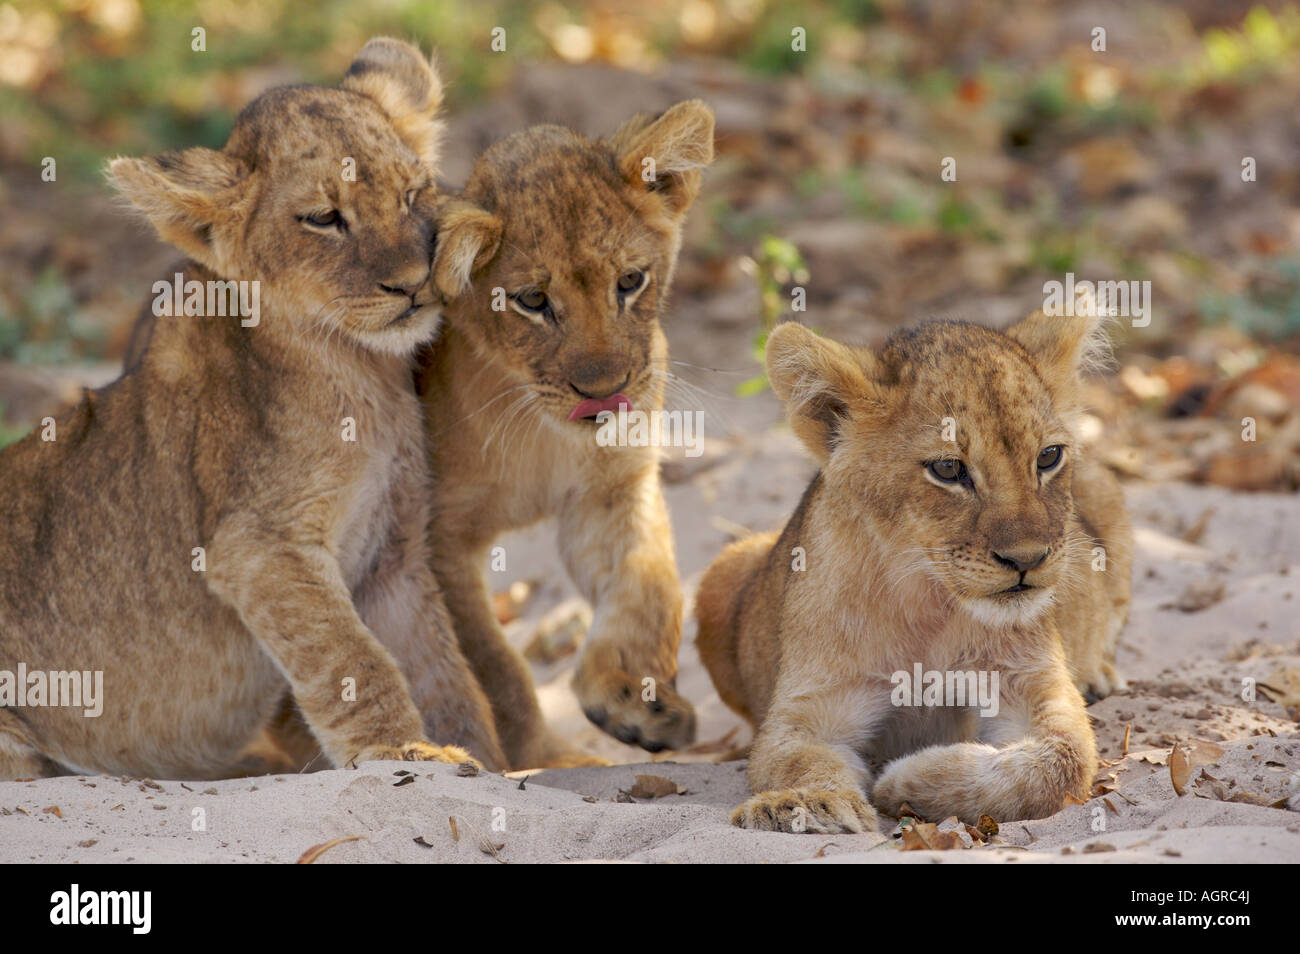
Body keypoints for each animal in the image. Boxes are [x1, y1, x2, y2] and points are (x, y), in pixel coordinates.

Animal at [0, 38, 507, 780]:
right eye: (324, 218)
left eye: (414, 194)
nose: (414, 285)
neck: (365, 374)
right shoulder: (258, 543)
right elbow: (351, 660)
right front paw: (400, 751)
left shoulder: (394, 555)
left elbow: (444, 676)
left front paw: (490, 769)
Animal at [408, 101, 716, 768]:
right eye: (531, 301)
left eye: (630, 281)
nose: (604, 391)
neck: (543, 437)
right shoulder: (436, 541)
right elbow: (498, 673)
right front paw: (549, 761)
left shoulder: (613, 491)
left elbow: (648, 588)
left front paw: (632, 700)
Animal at [694, 312, 1132, 831]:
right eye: (947, 469)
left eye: (1048, 457)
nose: (1027, 560)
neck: (929, 603)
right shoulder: (809, 710)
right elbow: (800, 760)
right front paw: (804, 804)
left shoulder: (1031, 683)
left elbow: (1061, 762)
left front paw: (907, 780)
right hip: (724, 569)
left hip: (1105, 491)